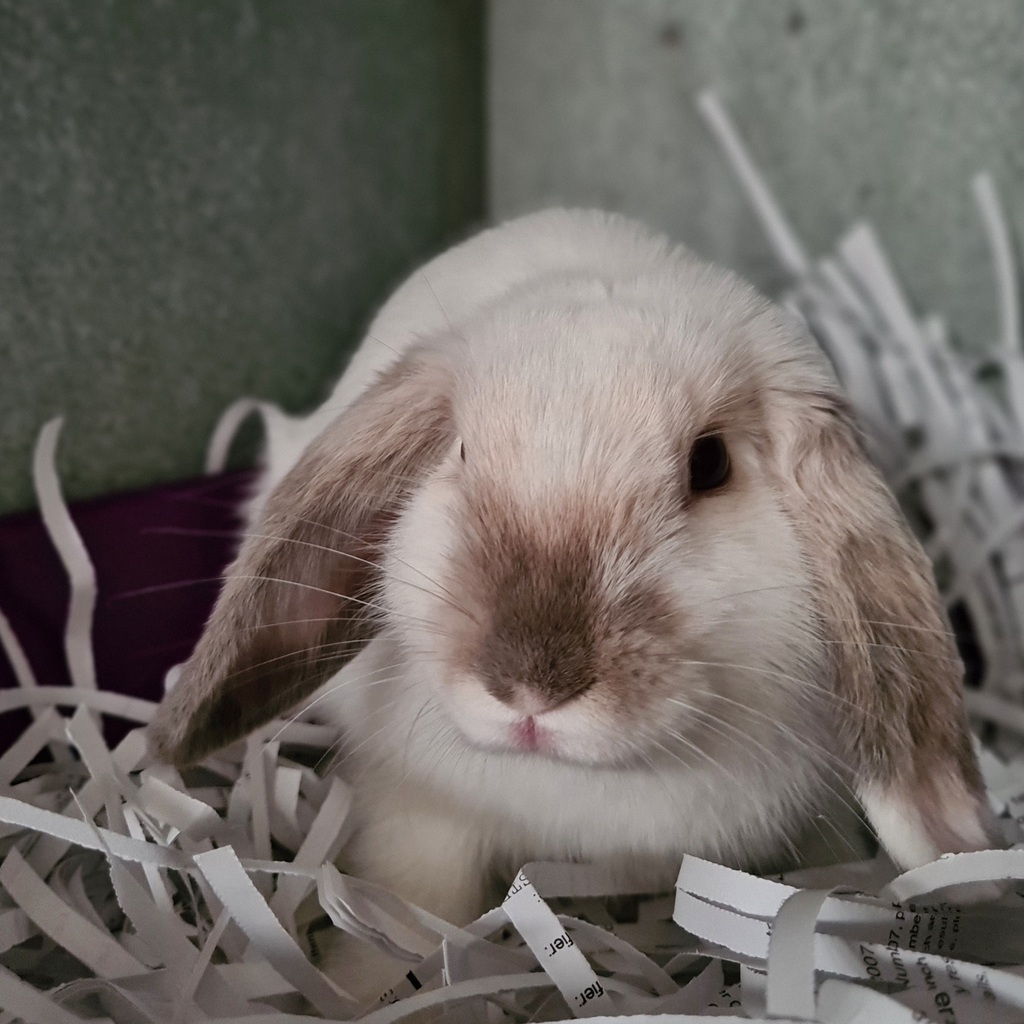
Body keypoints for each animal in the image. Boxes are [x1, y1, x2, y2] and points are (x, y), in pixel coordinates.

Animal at [149, 208, 1000, 998]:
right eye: (460, 453)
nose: (530, 689)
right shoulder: (420, 820)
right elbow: (412, 910)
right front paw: (366, 985)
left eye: (711, 464)